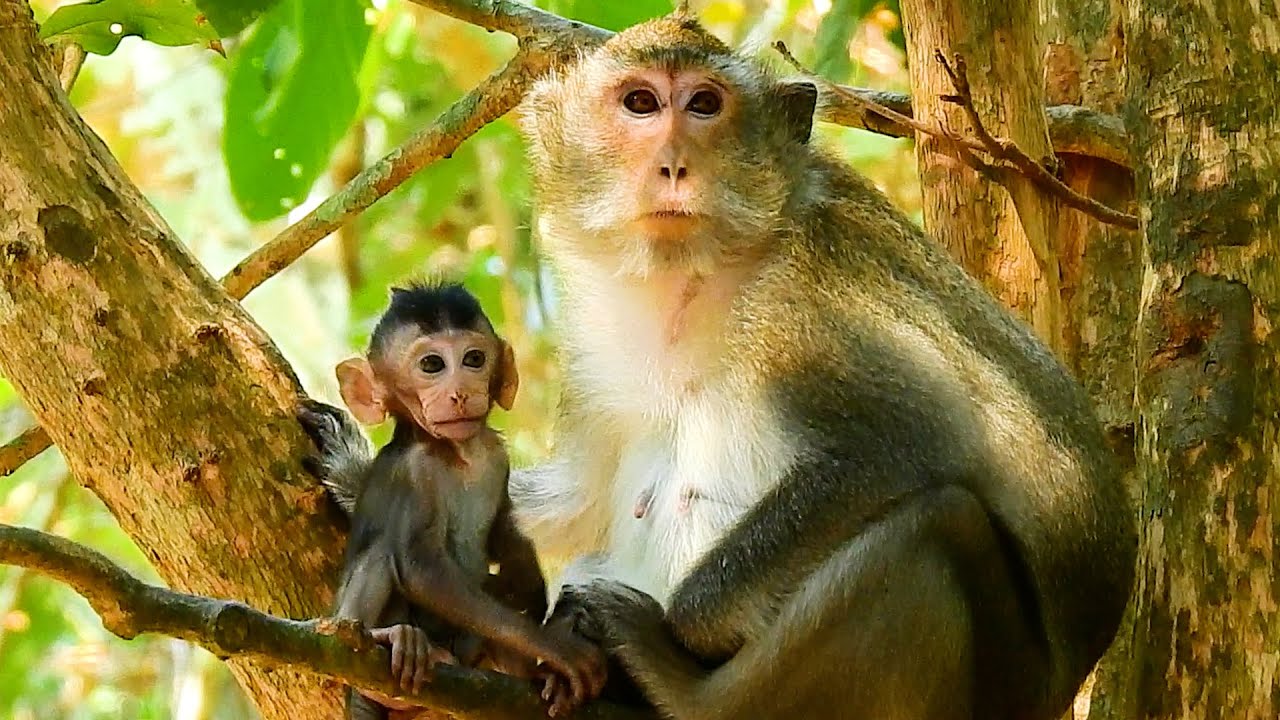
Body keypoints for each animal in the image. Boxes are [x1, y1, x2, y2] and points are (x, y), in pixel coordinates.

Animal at [311, 282, 607, 720]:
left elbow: (509, 544)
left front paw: (539, 607)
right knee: (381, 556)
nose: (460, 393)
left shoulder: (495, 456)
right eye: (432, 365)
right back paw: (396, 644)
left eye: (473, 359)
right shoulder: (415, 470)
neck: (457, 454)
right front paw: (556, 648)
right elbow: (420, 566)